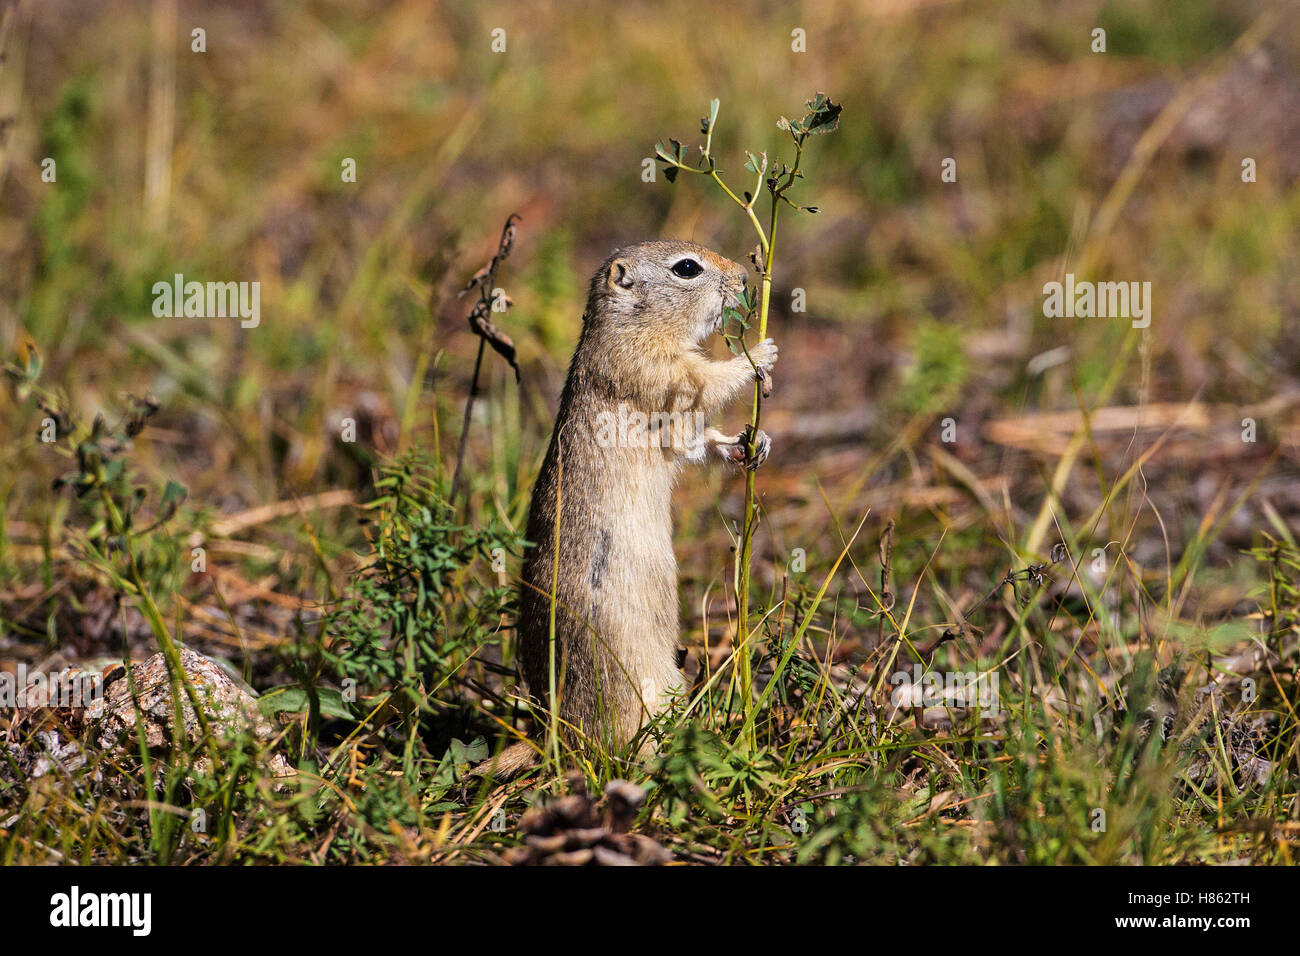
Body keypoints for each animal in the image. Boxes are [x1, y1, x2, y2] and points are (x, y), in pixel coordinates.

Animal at [480, 240, 777, 779]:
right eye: (686, 268)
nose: (745, 279)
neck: (628, 324)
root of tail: (552, 733)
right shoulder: (659, 370)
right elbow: (707, 380)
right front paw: (761, 353)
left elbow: (697, 439)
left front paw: (753, 443)